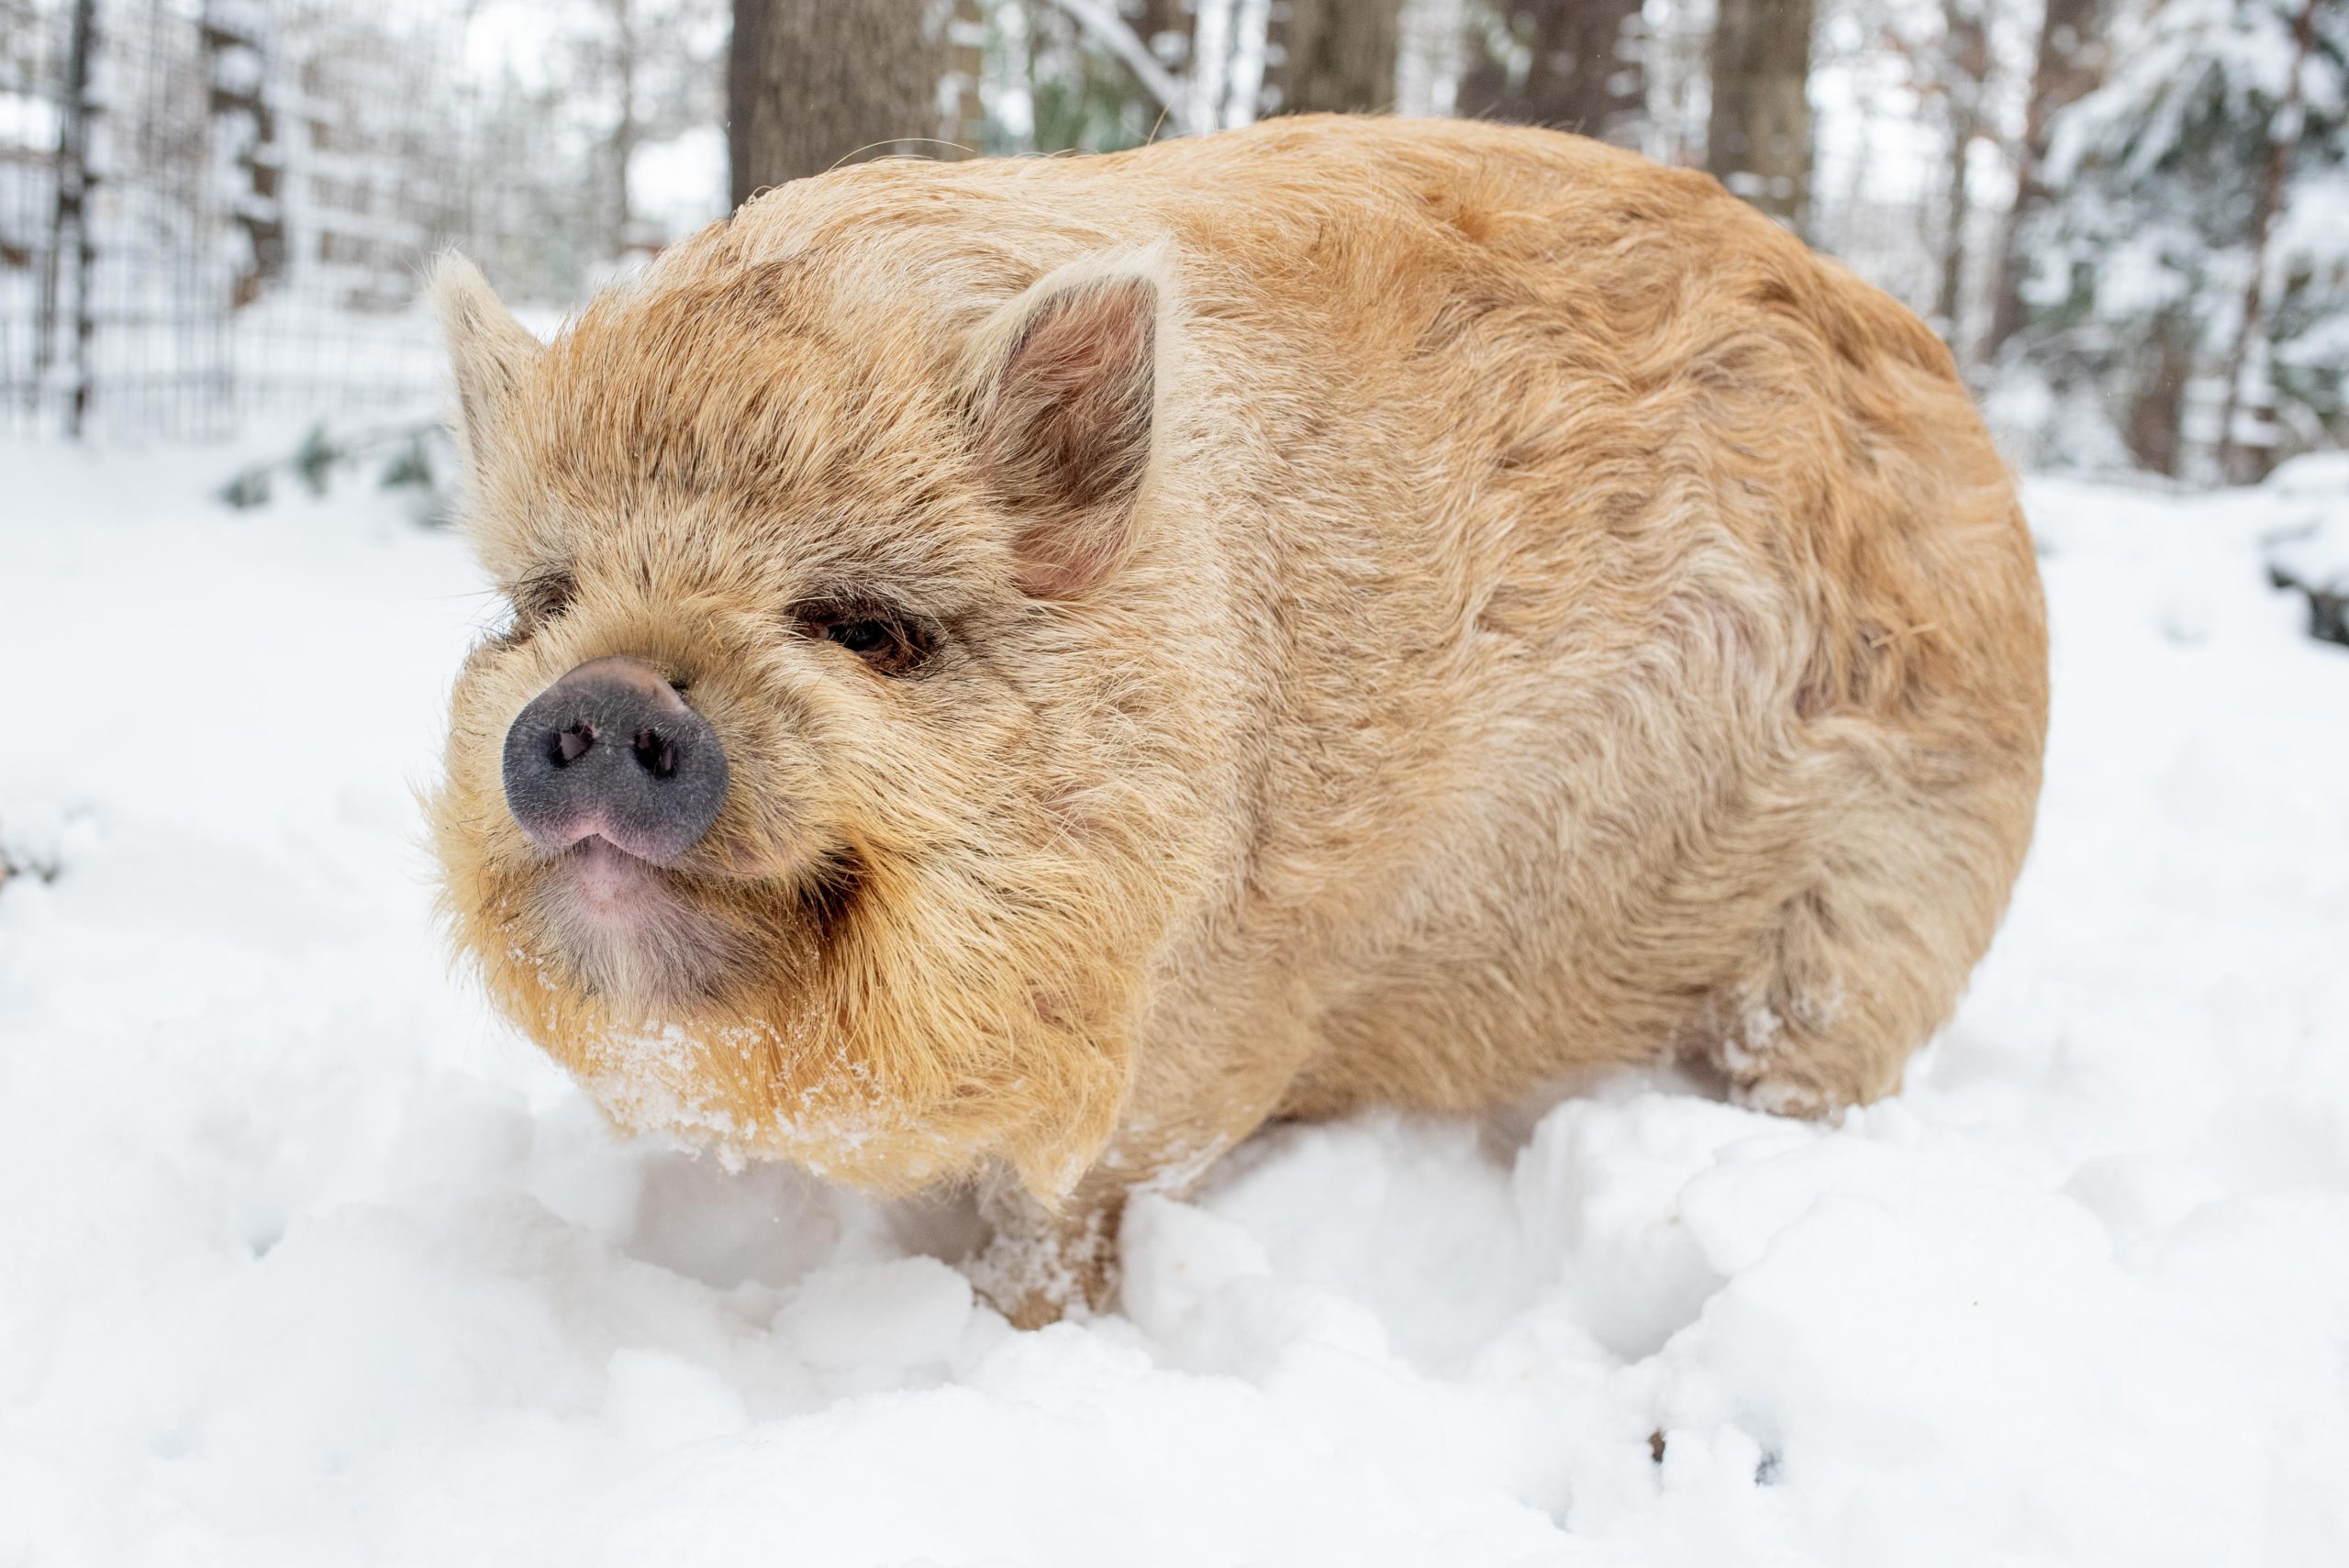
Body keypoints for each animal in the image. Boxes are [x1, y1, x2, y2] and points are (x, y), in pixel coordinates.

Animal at [429, 116, 2047, 1326]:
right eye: (543, 603)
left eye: (867, 626)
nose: (608, 694)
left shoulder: (1203, 1050)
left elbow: (1066, 1227)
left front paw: (1013, 1329)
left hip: (1865, 947)